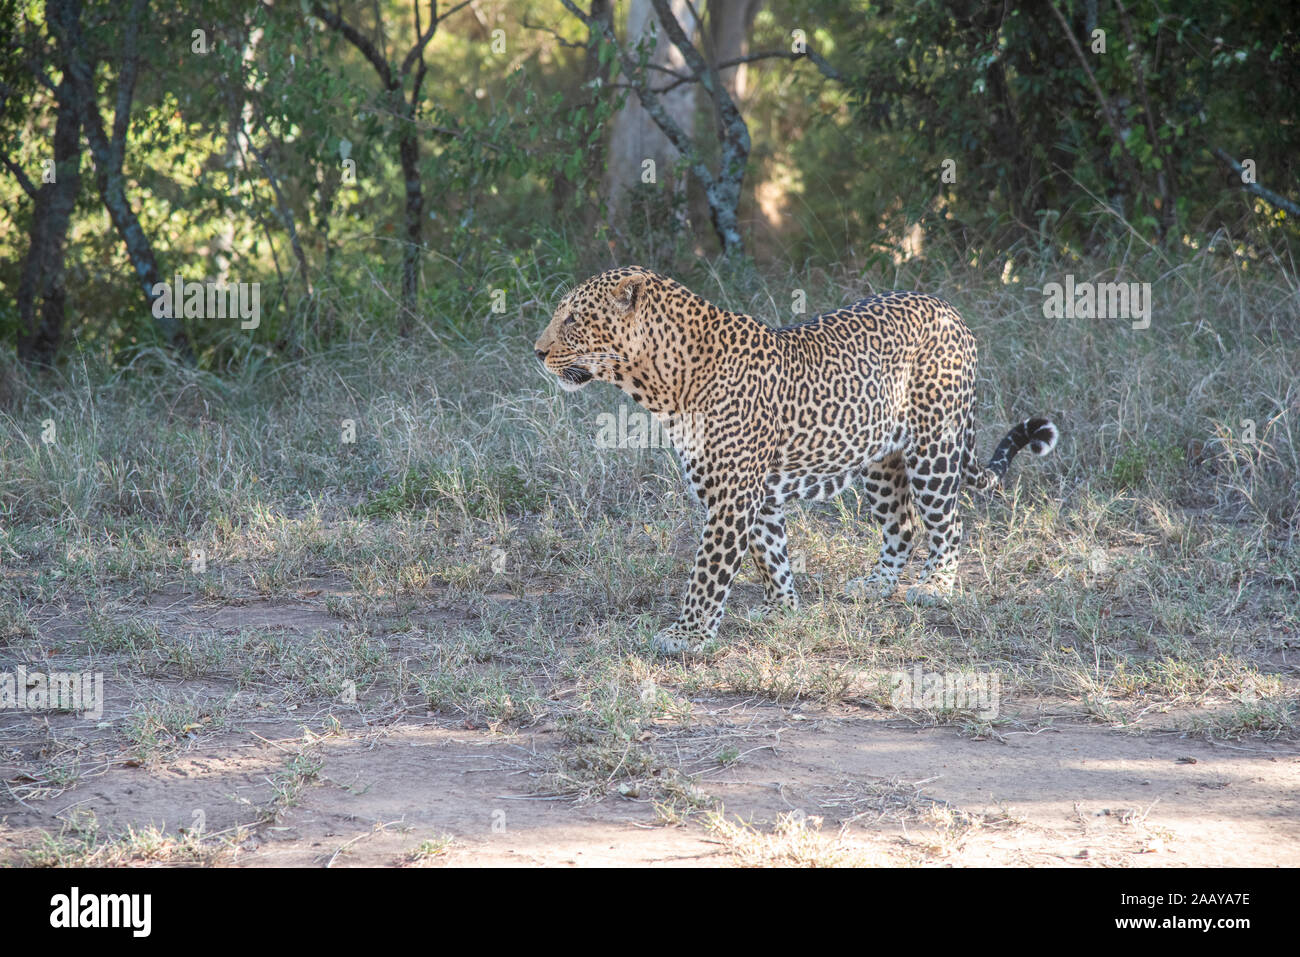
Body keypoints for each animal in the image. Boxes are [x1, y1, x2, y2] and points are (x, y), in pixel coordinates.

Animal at [534, 266, 1058, 653]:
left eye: (573, 319)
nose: (537, 352)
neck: (664, 380)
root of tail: (950, 310)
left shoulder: (731, 498)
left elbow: (707, 571)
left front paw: (686, 635)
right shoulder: (757, 494)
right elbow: (770, 555)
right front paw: (781, 608)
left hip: (935, 447)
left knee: (948, 523)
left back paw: (934, 587)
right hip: (880, 459)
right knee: (903, 525)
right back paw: (876, 585)